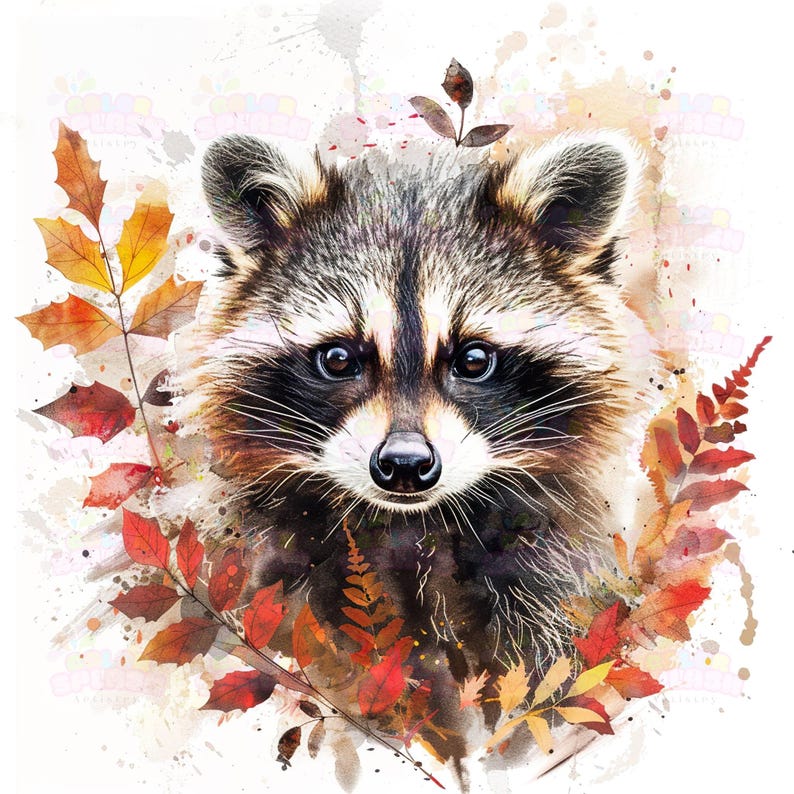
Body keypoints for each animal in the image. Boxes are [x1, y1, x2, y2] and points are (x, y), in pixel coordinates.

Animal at [181, 131, 643, 720]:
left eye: (473, 359)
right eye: (338, 358)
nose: (404, 465)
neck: (411, 527)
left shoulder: (552, 561)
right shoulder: (264, 552)